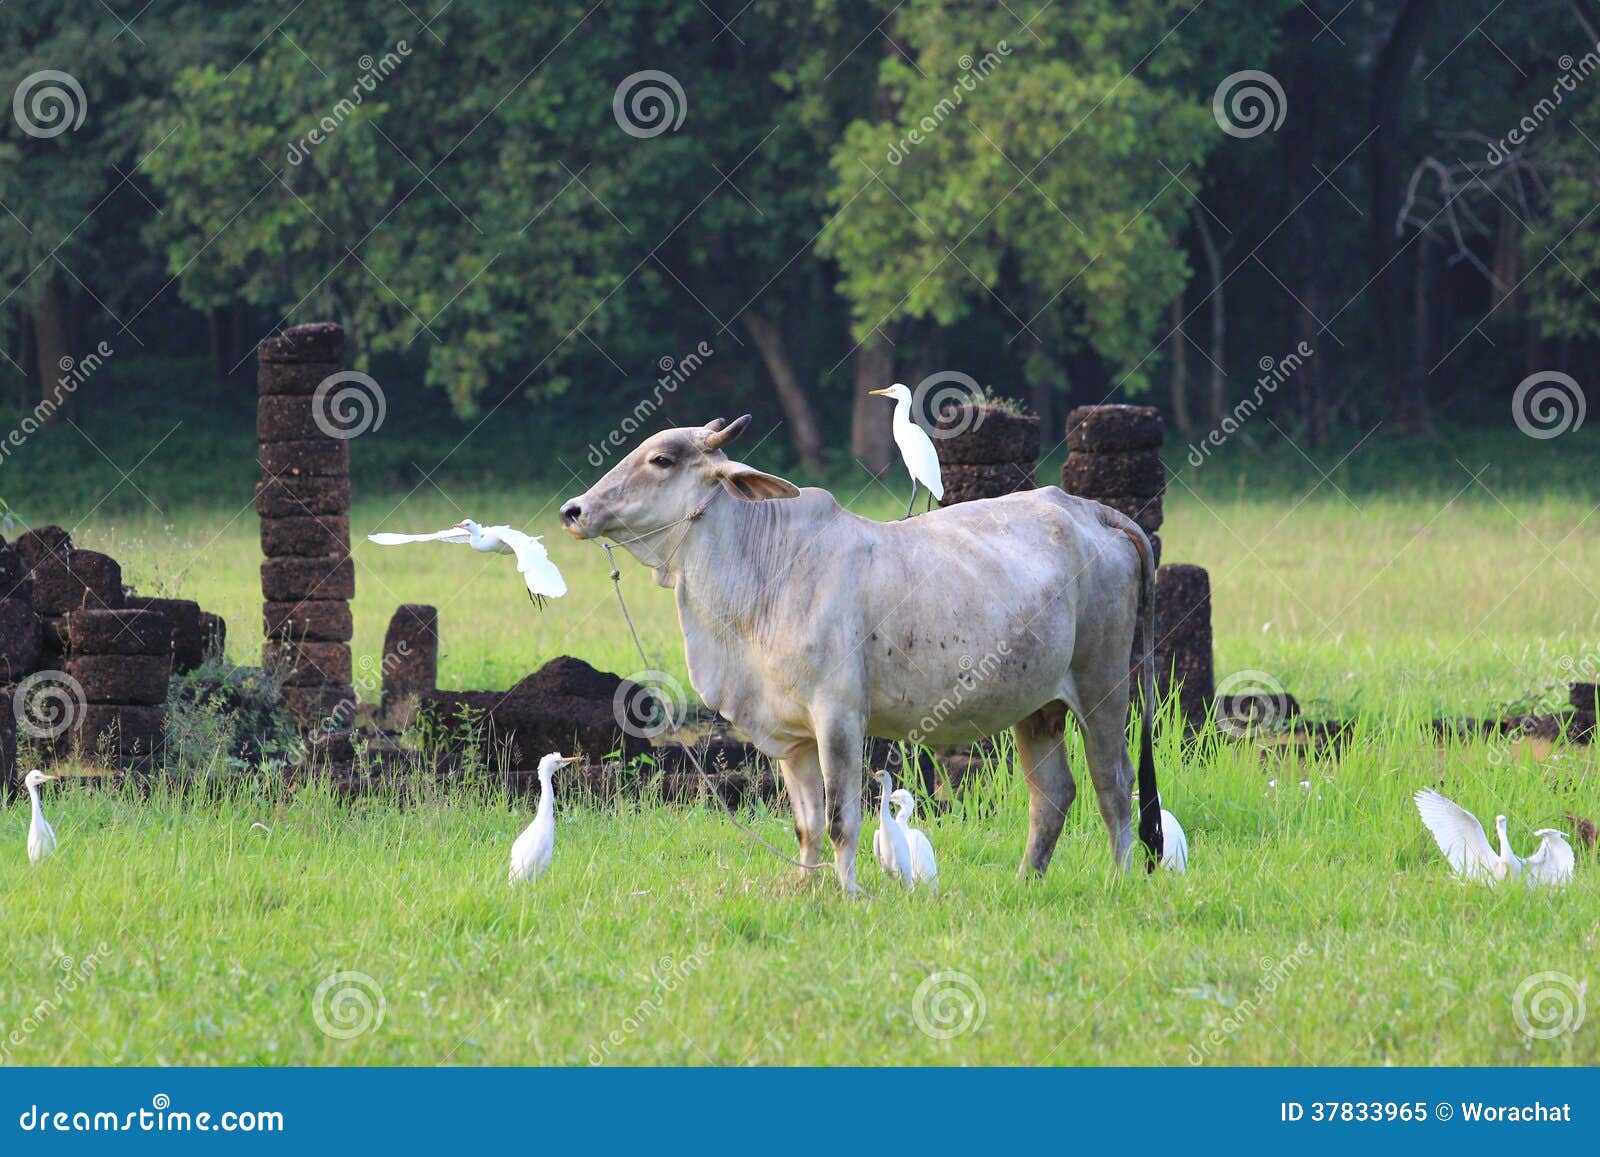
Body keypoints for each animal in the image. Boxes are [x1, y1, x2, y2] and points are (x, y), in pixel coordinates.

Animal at [560, 415, 1163, 893]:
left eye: (661, 459)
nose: (574, 510)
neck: (762, 567)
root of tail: (1088, 509)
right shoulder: (790, 735)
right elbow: (806, 824)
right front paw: (805, 889)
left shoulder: (839, 717)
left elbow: (840, 819)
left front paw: (848, 892)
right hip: (1038, 707)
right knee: (1053, 793)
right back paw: (1024, 882)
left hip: (1102, 687)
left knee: (1114, 783)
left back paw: (1119, 877)